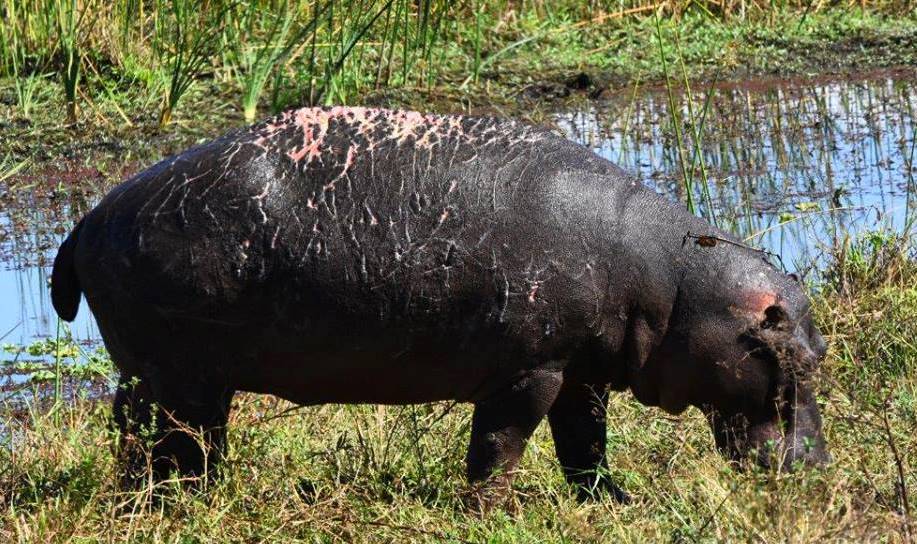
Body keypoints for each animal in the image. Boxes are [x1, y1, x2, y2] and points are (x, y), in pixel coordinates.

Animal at [51, 107, 829, 506]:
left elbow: (584, 445)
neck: (675, 287)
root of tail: (86, 219)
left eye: (820, 350)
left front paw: (610, 501)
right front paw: (488, 511)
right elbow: (501, 443)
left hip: (161, 374)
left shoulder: (580, 370)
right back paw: (191, 501)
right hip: (183, 376)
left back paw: (154, 500)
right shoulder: (530, 369)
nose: (816, 469)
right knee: (177, 440)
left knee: (139, 431)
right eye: (785, 357)